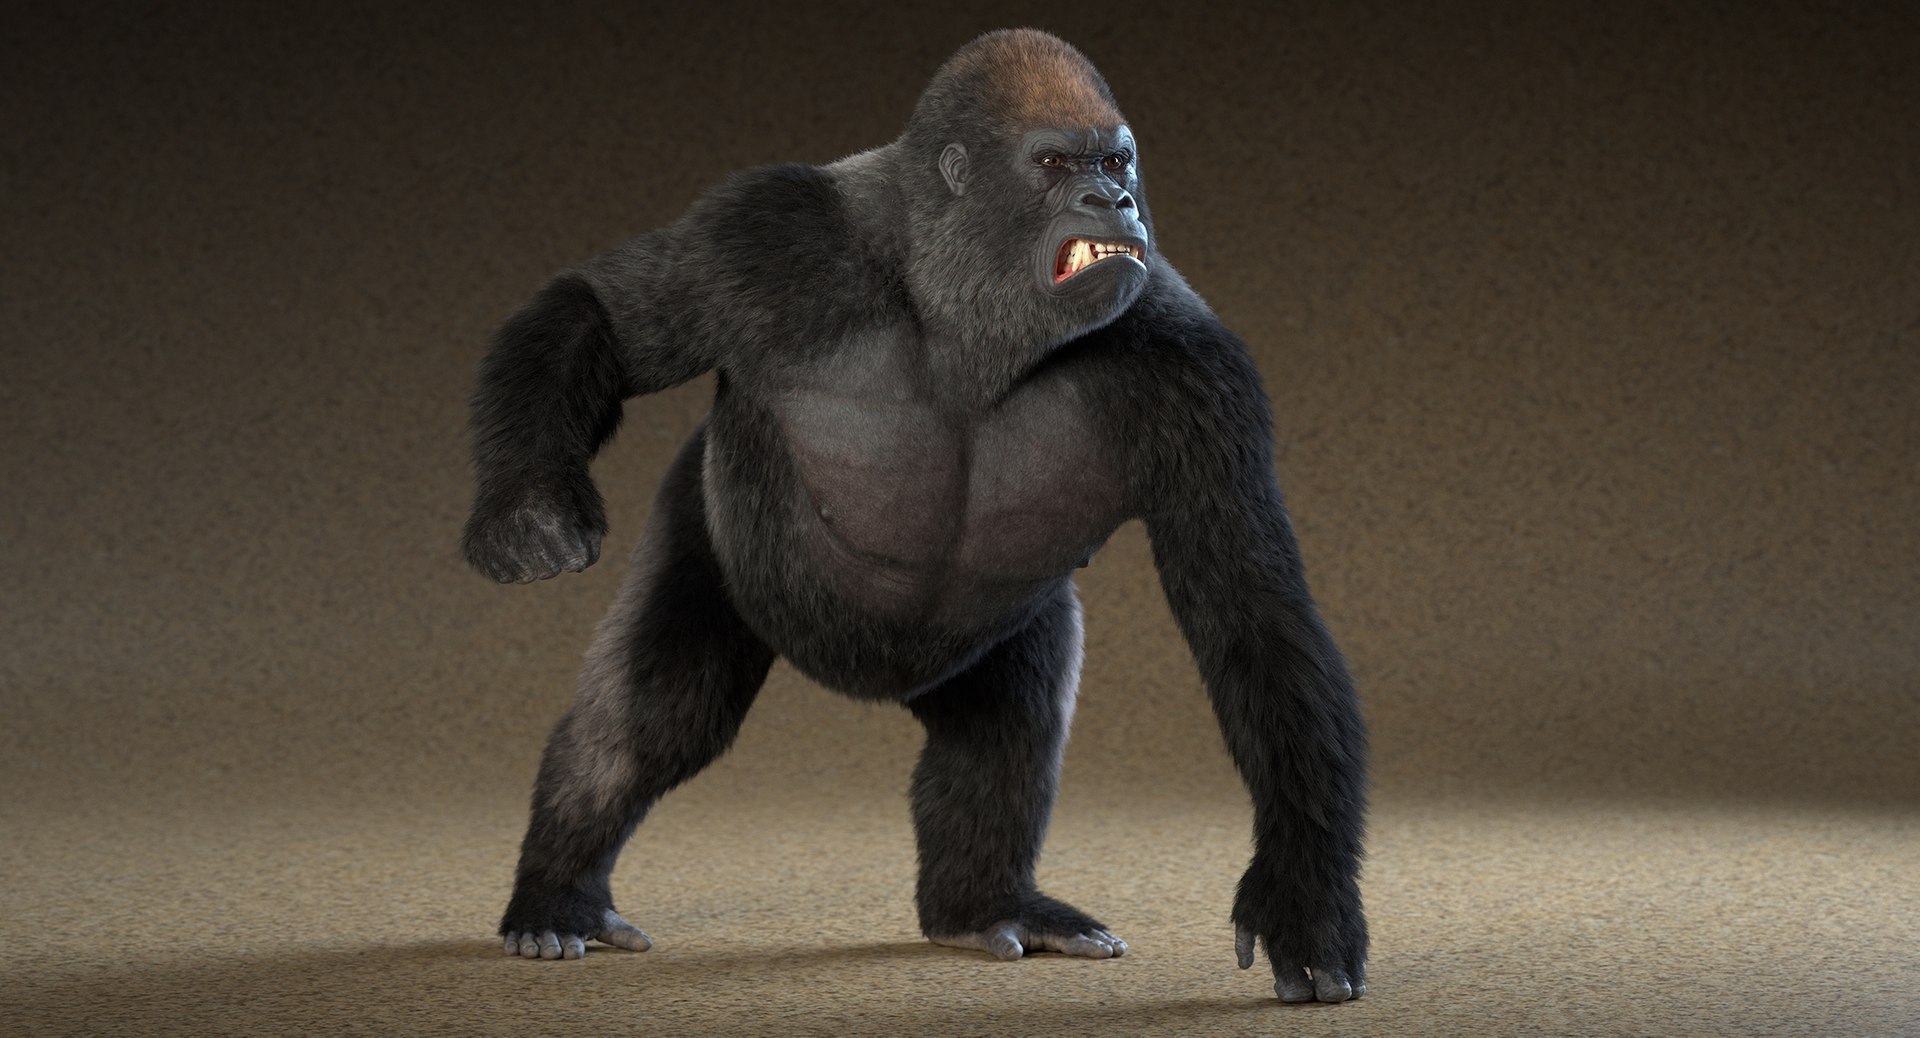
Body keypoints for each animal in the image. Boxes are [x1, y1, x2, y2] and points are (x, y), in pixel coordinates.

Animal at [461, 29, 1368, 1003]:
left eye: (1117, 161)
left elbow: (1254, 617)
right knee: (653, 717)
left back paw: (983, 904)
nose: (1115, 200)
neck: (950, 292)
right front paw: (524, 509)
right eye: (1056, 164)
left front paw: (1304, 898)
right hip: (699, 517)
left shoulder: (1200, 374)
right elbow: (602, 316)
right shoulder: (765, 233)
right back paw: (557, 896)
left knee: (1006, 724)